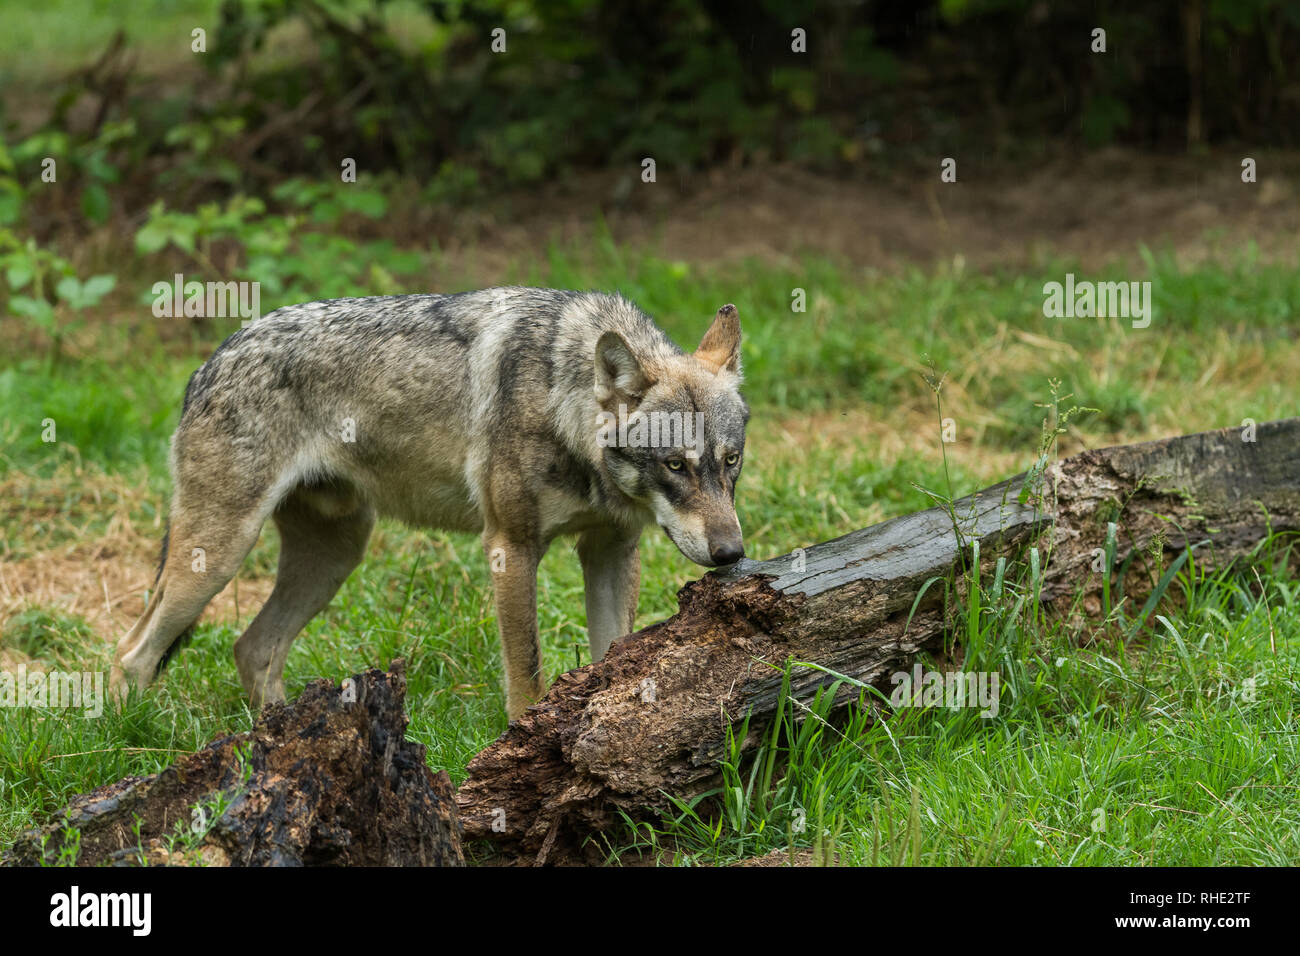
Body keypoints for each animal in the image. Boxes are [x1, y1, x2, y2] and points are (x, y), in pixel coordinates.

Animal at [110, 288, 748, 719]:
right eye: (675, 466)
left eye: (731, 461)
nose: (731, 554)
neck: (560, 396)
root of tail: (209, 361)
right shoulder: (510, 549)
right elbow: (526, 676)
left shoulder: (612, 550)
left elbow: (612, 655)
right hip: (217, 559)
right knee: (130, 653)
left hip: (335, 557)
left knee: (252, 648)